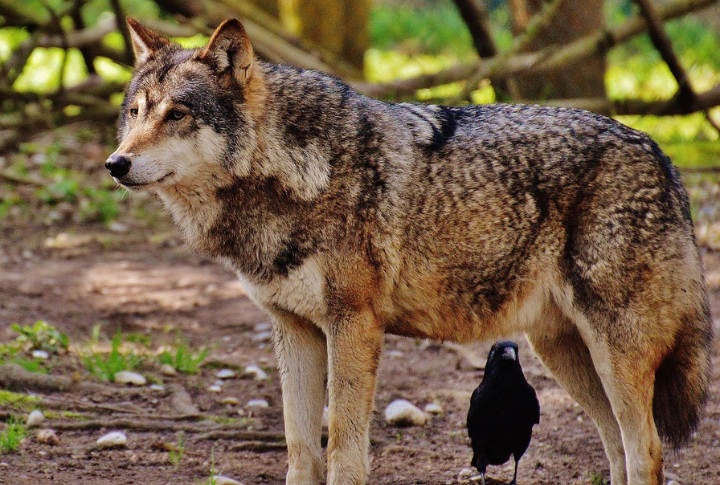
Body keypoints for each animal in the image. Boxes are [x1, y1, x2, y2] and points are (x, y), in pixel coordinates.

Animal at [107, 18, 713, 485]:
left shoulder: (353, 325)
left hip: (612, 352)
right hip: (563, 354)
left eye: (177, 114)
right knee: (619, 451)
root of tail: (663, 156)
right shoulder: (293, 330)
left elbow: (342, 450)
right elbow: (301, 450)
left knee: (647, 451)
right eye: (135, 112)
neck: (293, 171)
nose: (115, 164)